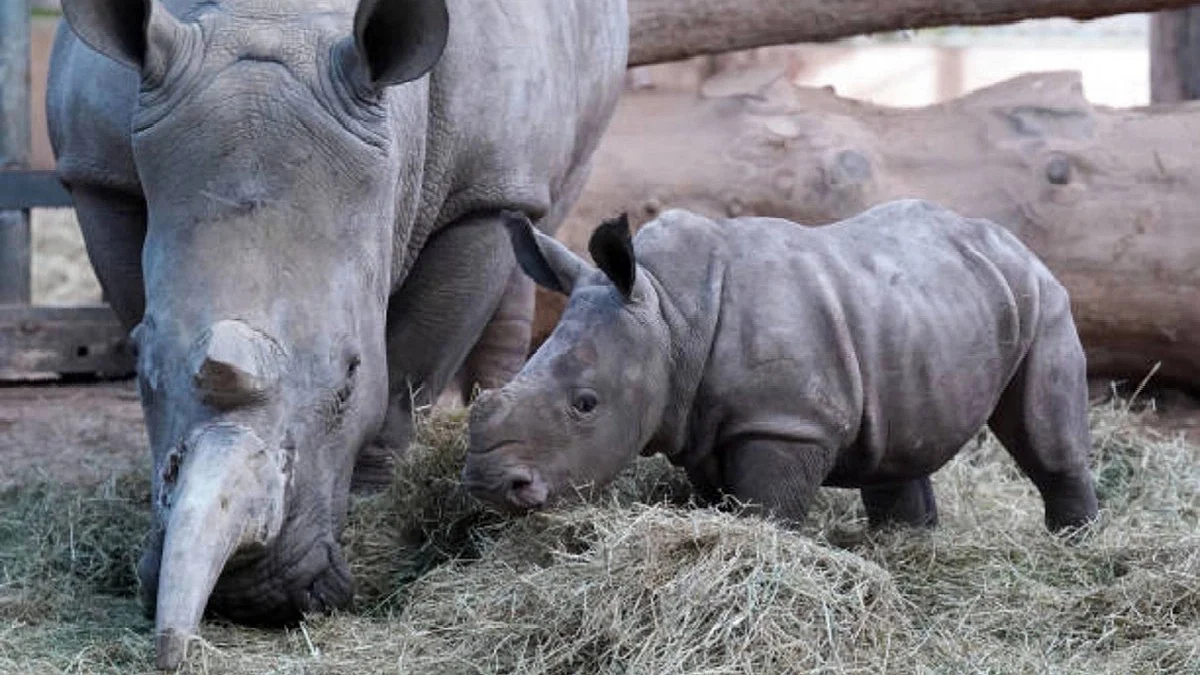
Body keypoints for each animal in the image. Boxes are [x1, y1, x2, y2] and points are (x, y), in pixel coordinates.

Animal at [47, 0, 626, 667]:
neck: (273, 19)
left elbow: (409, 365)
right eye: (141, 373)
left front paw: (376, 499)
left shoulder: (481, 191)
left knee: (536, 224)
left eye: (349, 376)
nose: (245, 596)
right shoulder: (96, 173)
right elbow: (134, 297)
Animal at [464, 202, 1100, 534]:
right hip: (924, 306)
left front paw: (762, 550)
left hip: (1042, 297)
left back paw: (1074, 544)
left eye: (585, 404)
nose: (490, 484)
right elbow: (722, 500)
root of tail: (1010, 237)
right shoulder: (701, 425)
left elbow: (765, 509)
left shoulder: (785, 422)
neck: (669, 311)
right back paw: (905, 544)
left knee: (1044, 436)